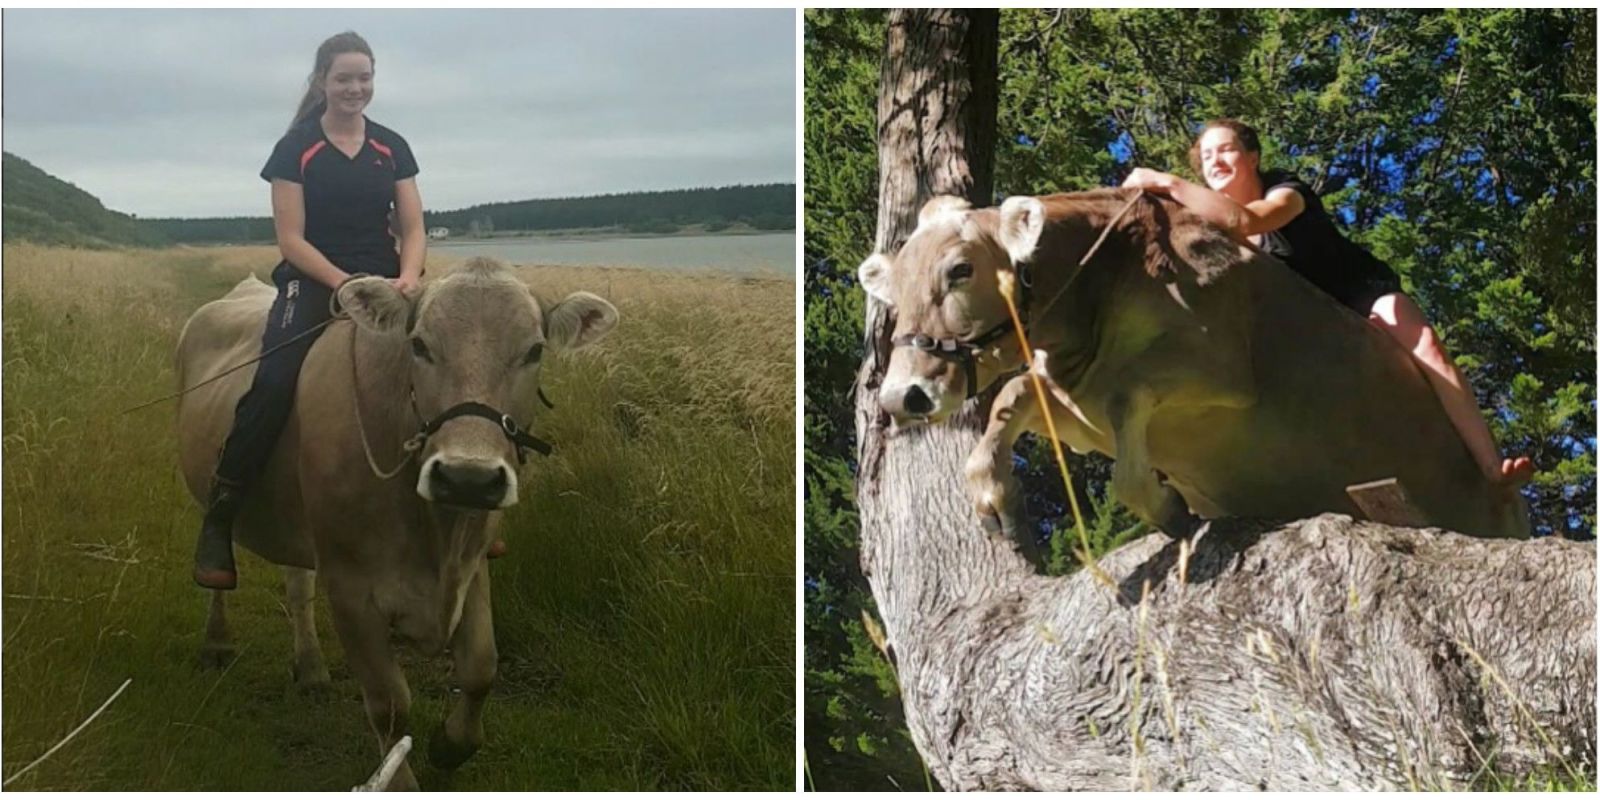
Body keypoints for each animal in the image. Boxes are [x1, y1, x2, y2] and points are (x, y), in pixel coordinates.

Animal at [175, 257, 618, 789]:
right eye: (419, 344)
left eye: (534, 350)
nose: (468, 477)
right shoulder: (349, 587)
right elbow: (389, 705)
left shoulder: (472, 564)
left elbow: (481, 668)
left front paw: (450, 745)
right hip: (208, 487)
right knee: (217, 558)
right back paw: (217, 638)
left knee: (297, 585)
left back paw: (311, 668)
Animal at [859, 189, 1529, 541]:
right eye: (892, 290)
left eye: (959, 269)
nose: (900, 396)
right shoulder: (1075, 404)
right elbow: (1012, 395)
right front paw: (994, 501)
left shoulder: (1222, 369)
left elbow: (1130, 400)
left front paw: (1168, 507)